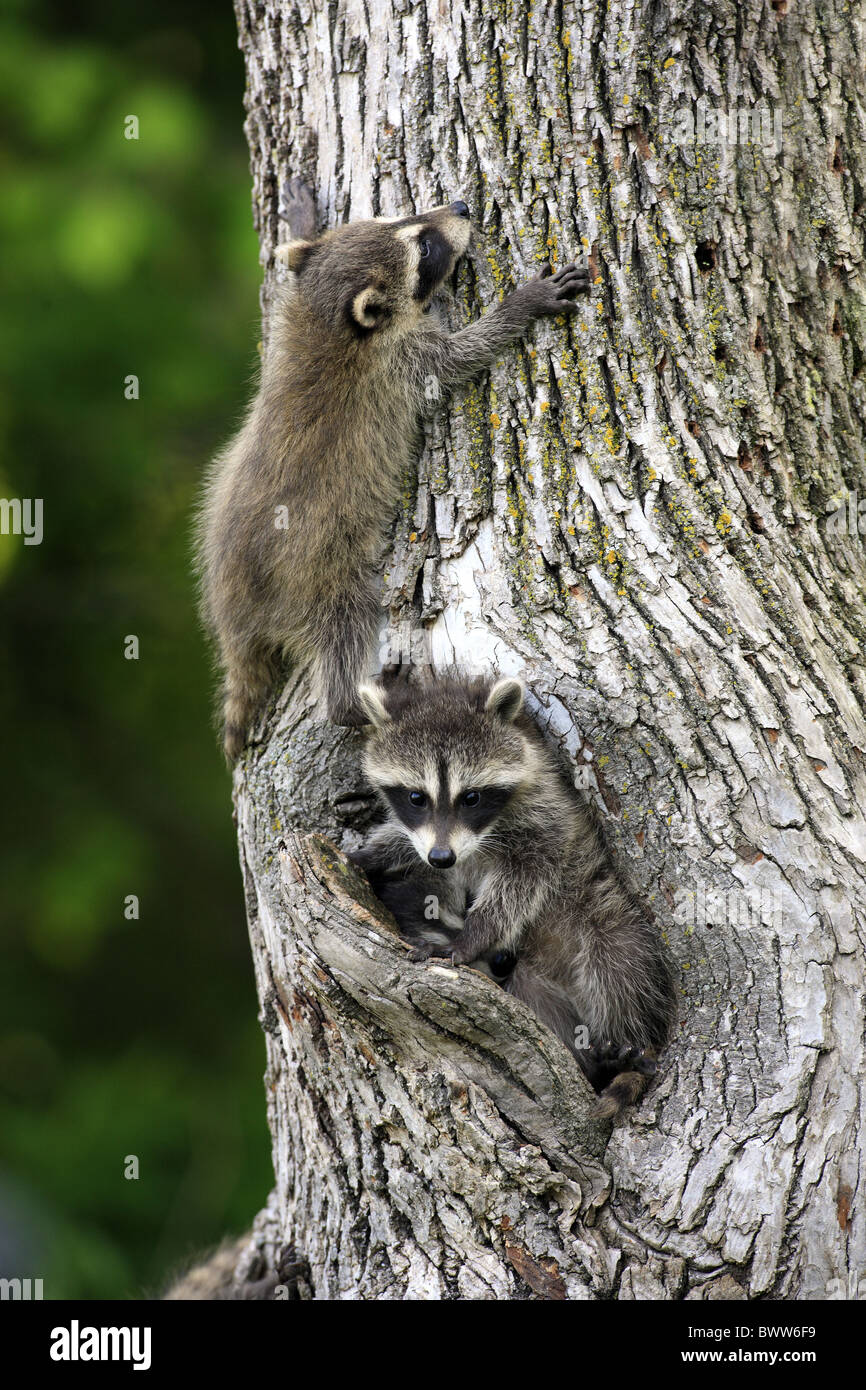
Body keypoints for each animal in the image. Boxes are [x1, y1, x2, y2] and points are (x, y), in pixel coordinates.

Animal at [196, 181, 589, 760]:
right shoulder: (404, 360)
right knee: (344, 631)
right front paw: (520, 304)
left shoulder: (289, 322)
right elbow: (462, 354)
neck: (331, 324)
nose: (462, 207)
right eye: (424, 250)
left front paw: (302, 217)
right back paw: (351, 704)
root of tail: (235, 614)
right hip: (320, 576)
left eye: (393, 219)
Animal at [352, 676, 677, 1117]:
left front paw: (475, 934)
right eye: (417, 797)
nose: (442, 858)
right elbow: (406, 841)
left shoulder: (546, 816)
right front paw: (373, 852)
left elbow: (522, 882)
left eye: (471, 797)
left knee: (619, 966)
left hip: (600, 915)